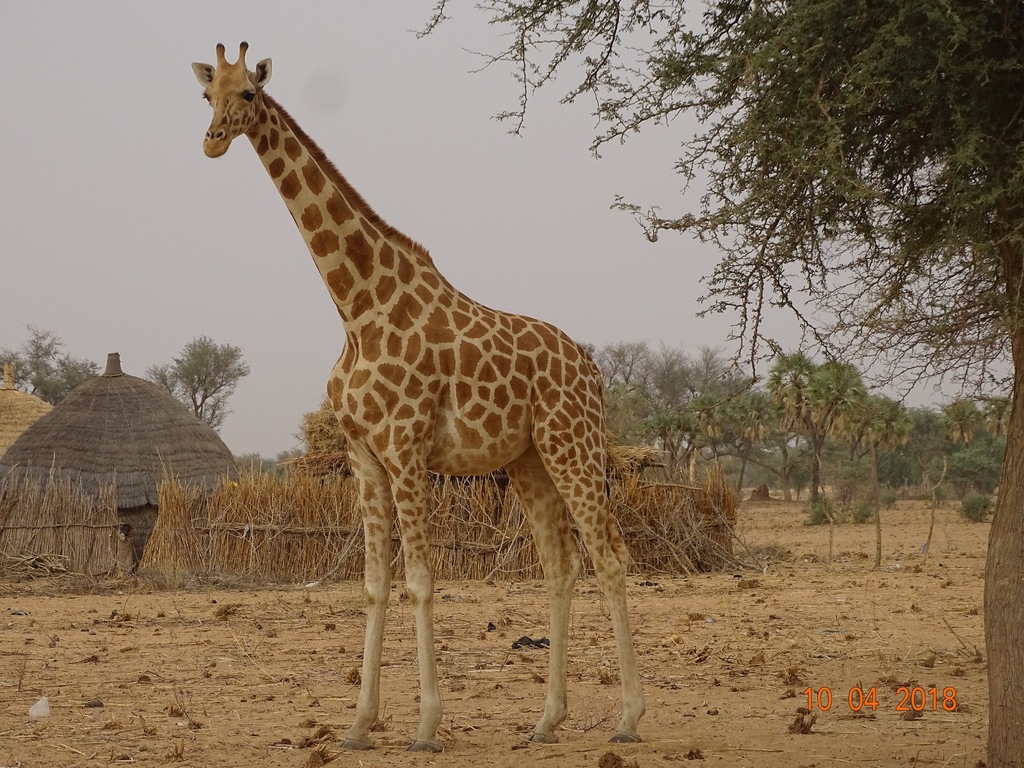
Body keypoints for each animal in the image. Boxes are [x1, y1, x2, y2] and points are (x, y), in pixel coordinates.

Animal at [192, 42, 645, 752]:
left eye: (250, 96)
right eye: (207, 95)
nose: (212, 141)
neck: (356, 307)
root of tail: (594, 370)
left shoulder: (405, 448)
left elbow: (422, 582)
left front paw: (427, 725)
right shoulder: (364, 455)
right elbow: (375, 584)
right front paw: (359, 724)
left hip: (573, 443)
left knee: (612, 557)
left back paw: (627, 718)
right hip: (528, 459)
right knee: (560, 564)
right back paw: (547, 719)